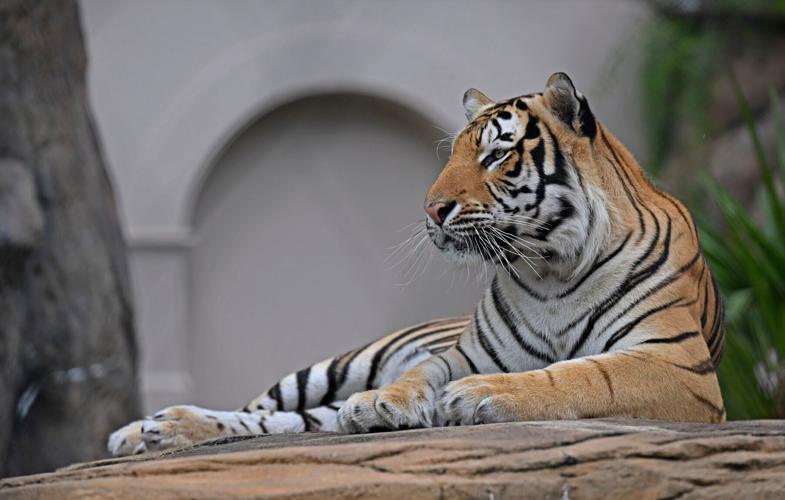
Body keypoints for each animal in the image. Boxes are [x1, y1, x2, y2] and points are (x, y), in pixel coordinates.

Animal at [108, 72, 725, 456]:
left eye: (496, 154)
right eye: (452, 154)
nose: (431, 208)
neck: (551, 267)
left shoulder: (675, 364)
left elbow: (584, 374)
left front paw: (480, 396)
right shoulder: (463, 353)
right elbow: (421, 372)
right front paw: (383, 403)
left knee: (287, 421)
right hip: (335, 365)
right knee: (261, 409)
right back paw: (145, 430)